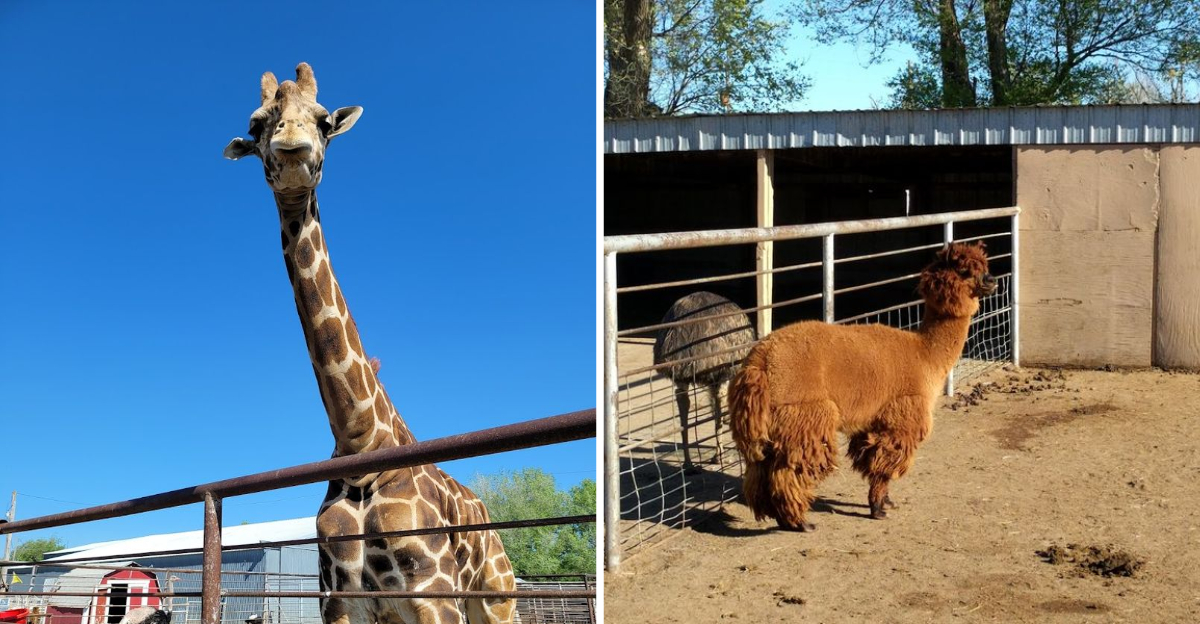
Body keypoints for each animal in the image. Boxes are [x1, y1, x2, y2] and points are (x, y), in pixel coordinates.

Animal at [223, 63, 517, 624]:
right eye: (256, 124)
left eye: (323, 121)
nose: (291, 146)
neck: (361, 444)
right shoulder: (341, 601)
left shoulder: (433, 593)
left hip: (495, 598)